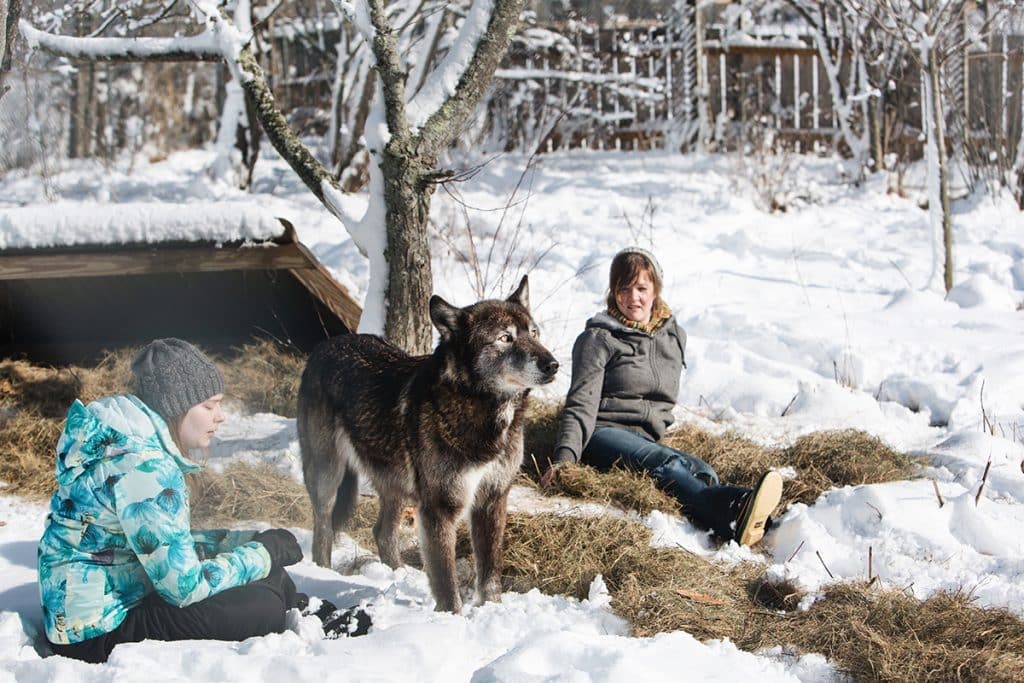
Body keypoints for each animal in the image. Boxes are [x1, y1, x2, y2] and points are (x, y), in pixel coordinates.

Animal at [297, 276, 558, 612]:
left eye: (534, 333)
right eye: (505, 338)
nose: (553, 365)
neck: (481, 410)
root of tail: (325, 346)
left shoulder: (492, 500)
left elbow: (490, 573)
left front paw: (491, 609)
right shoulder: (439, 508)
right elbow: (445, 578)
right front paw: (451, 619)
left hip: (394, 484)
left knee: (382, 533)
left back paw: (398, 577)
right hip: (328, 476)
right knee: (324, 528)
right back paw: (324, 572)